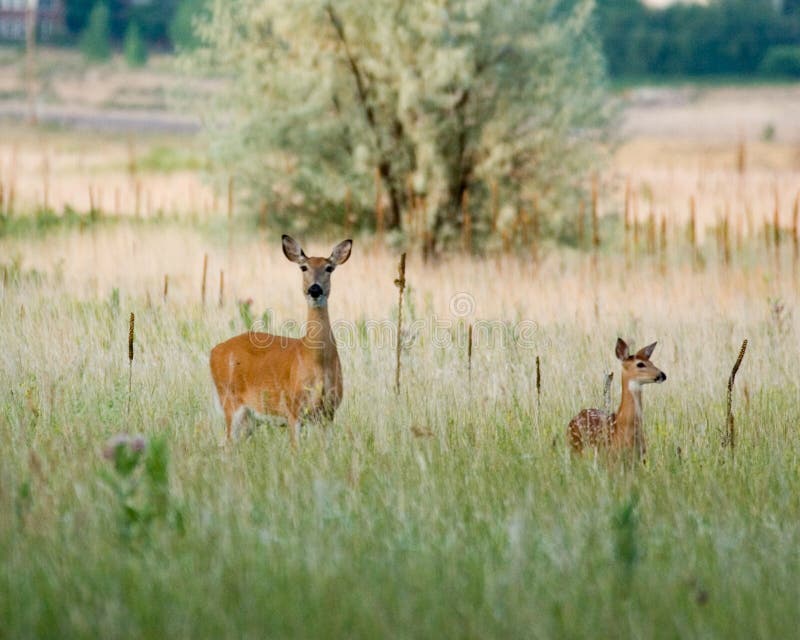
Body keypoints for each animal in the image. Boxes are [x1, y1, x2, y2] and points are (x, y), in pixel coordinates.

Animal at [210, 235, 352, 446]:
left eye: (329, 268)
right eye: (303, 267)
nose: (315, 289)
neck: (317, 362)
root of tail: (214, 351)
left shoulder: (328, 413)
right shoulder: (293, 409)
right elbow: (295, 449)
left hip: (249, 419)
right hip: (230, 401)